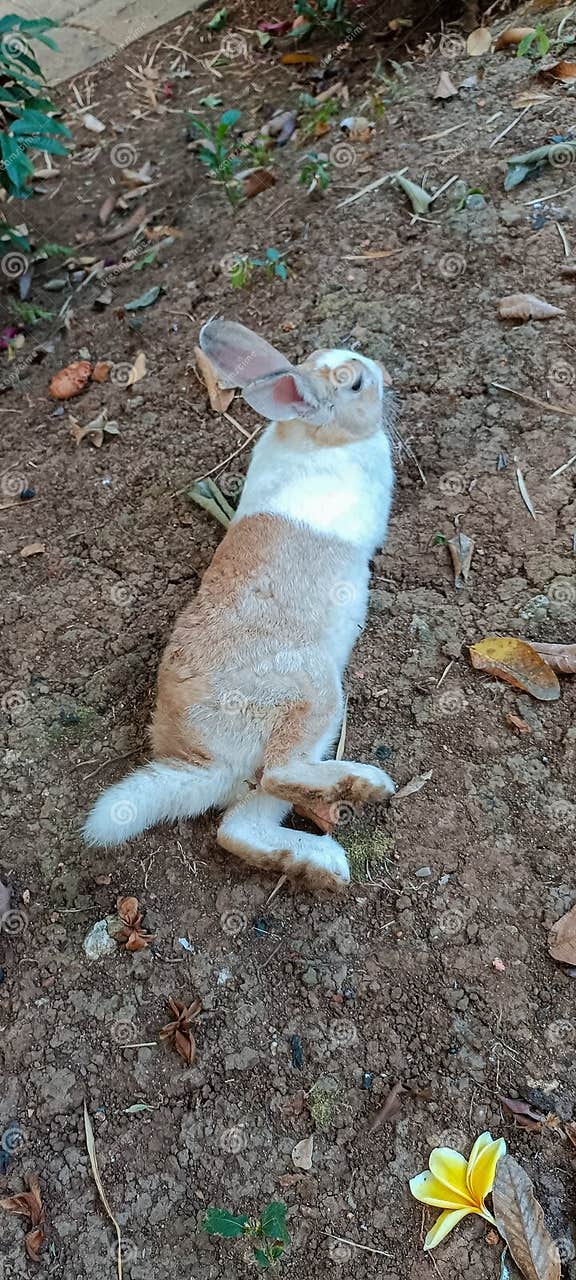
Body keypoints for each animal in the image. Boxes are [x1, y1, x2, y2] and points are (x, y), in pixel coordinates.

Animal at [83, 317, 396, 891]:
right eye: (356, 383)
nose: (383, 372)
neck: (317, 434)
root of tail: (205, 759)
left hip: (294, 744)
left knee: (239, 827)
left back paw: (317, 865)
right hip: (313, 692)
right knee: (280, 773)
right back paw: (364, 786)